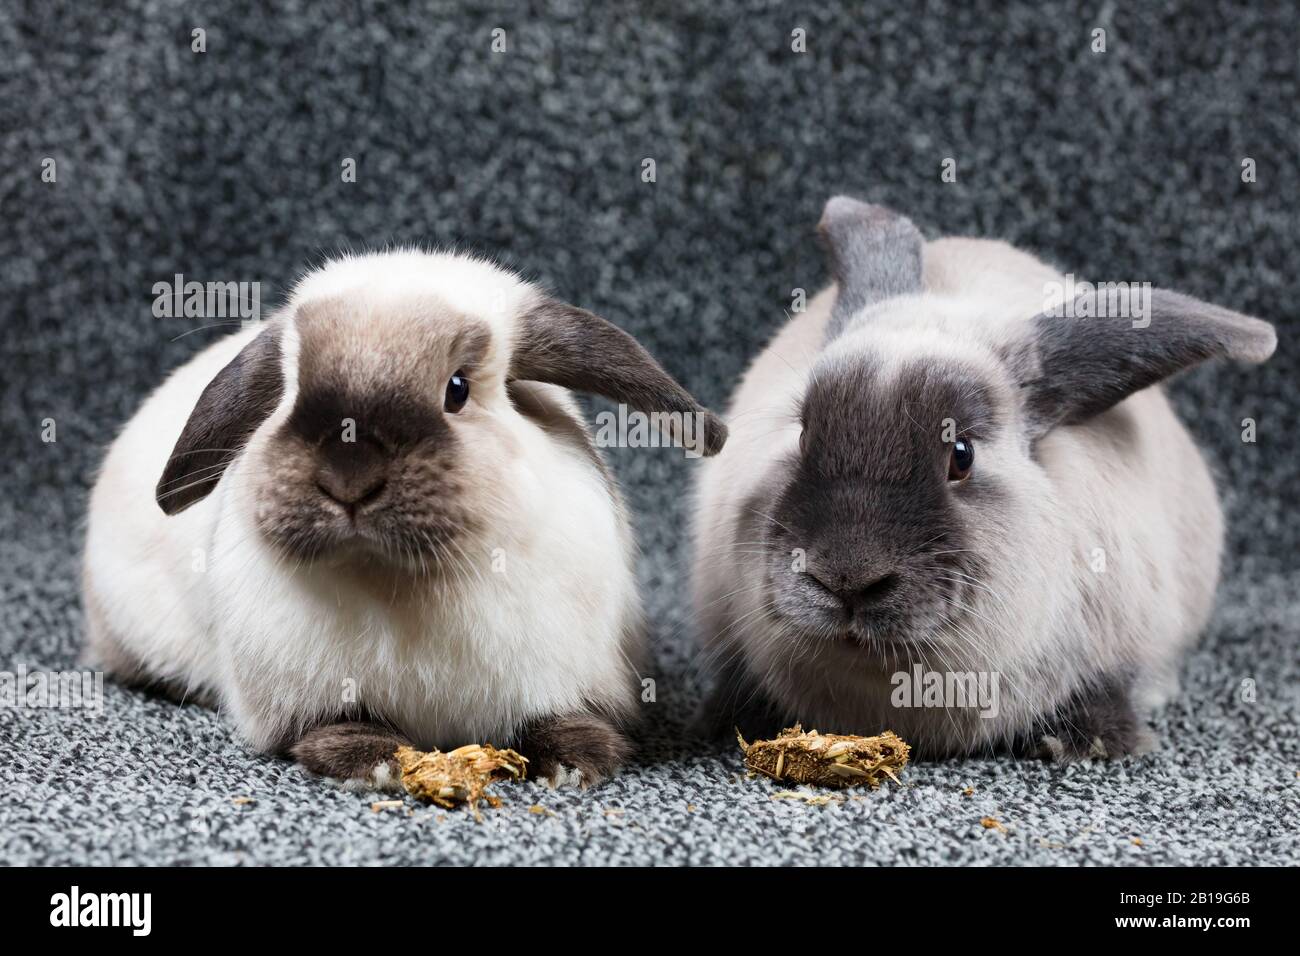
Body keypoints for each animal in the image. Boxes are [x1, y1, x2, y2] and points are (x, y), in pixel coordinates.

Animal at [83, 249, 727, 788]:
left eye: (457, 388)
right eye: (288, 393)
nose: (349, 477)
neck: (400, 579)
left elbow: (559, 717)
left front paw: (576, 762)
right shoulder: (308, 695)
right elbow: (337, 725)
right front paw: (375, 764)